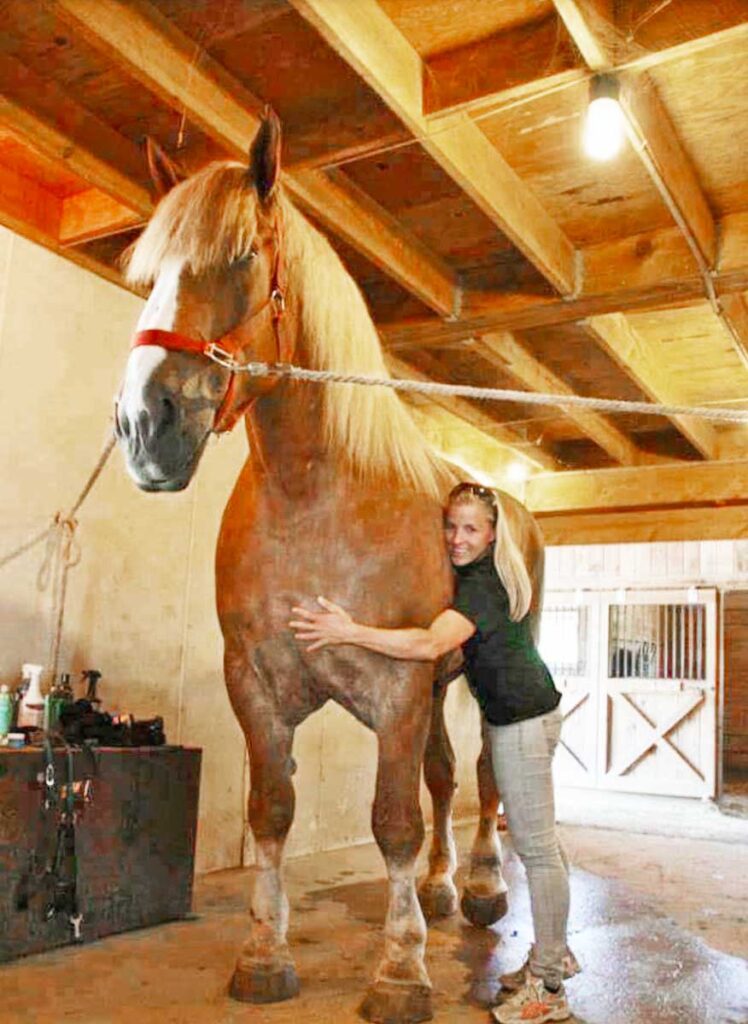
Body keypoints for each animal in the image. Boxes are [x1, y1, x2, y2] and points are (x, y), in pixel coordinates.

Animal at [114, 114, 546, 1023]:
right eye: (148, 271)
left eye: (243, 256)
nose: (143, 425)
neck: (314, 498)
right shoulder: (257, 685)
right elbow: (273, 810)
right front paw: (264, 954)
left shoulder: (396, 687)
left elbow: (392, 821)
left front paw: (400, 973)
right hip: (439, 686)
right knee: (445, 776)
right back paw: (441, 889)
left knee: (486, 778)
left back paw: (482, 889)